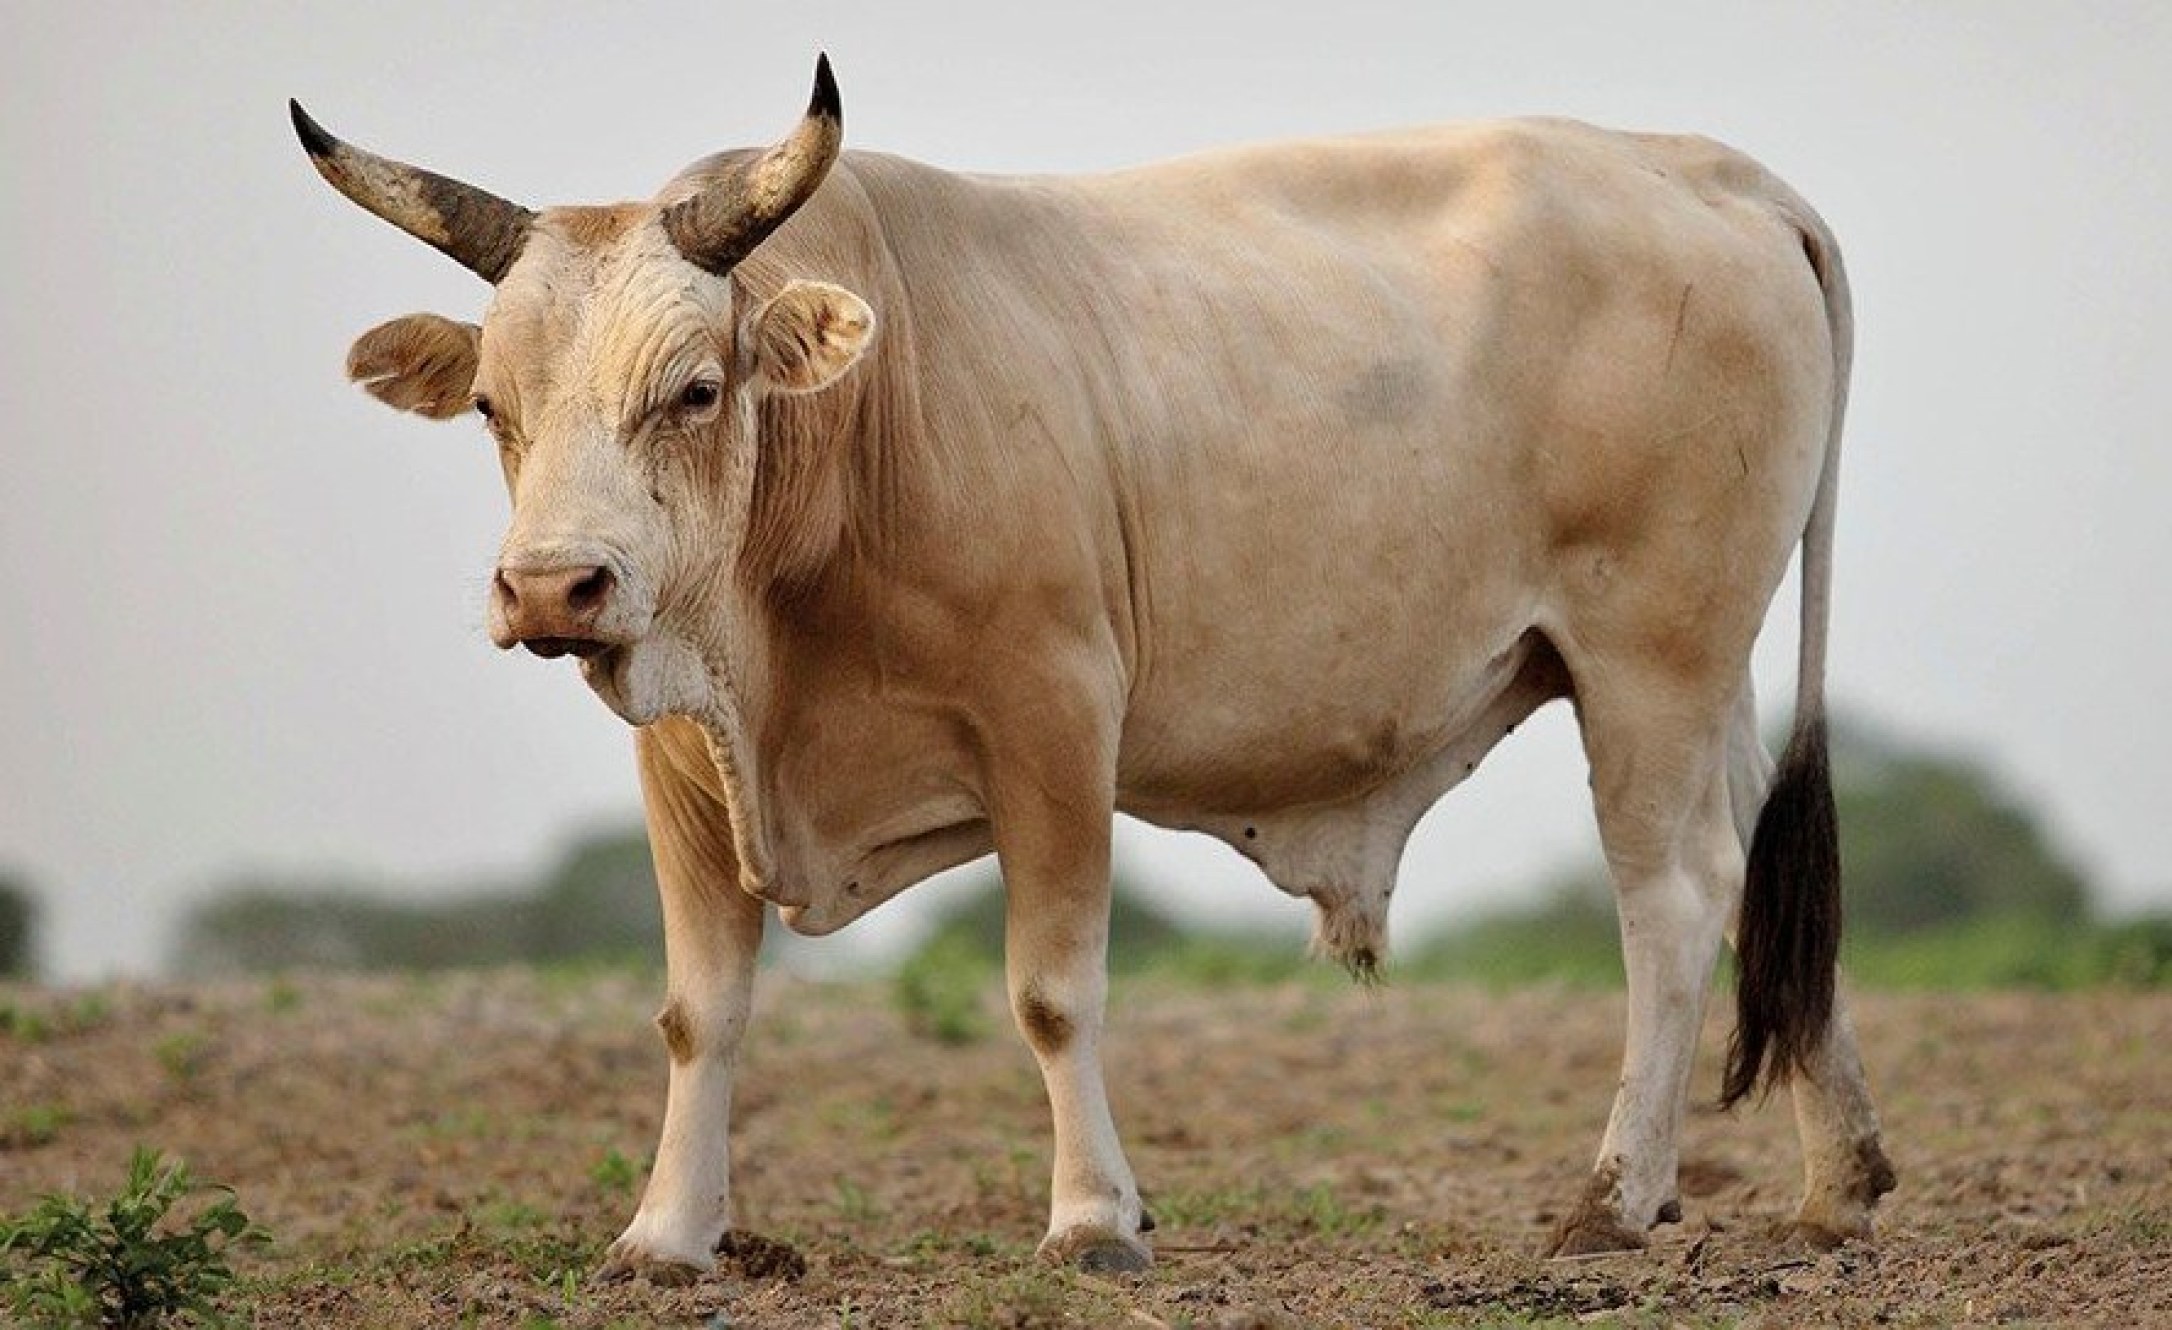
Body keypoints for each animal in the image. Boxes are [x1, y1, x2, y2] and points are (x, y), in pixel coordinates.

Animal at [292, 54, 1895, 1281]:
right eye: (492, 405)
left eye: (692, 389)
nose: (551, 585)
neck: (860, 437)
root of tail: (1709, 170)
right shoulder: (683, 764)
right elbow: (703, 1011)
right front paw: (667, 1234)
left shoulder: (1054, 719)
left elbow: (1052, 990)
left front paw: (1091, 1220)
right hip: (1707, 676)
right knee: (1758, 870)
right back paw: (1837, 1184)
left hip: (1649, 660)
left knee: (1673, 898)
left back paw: (1615, 1197)